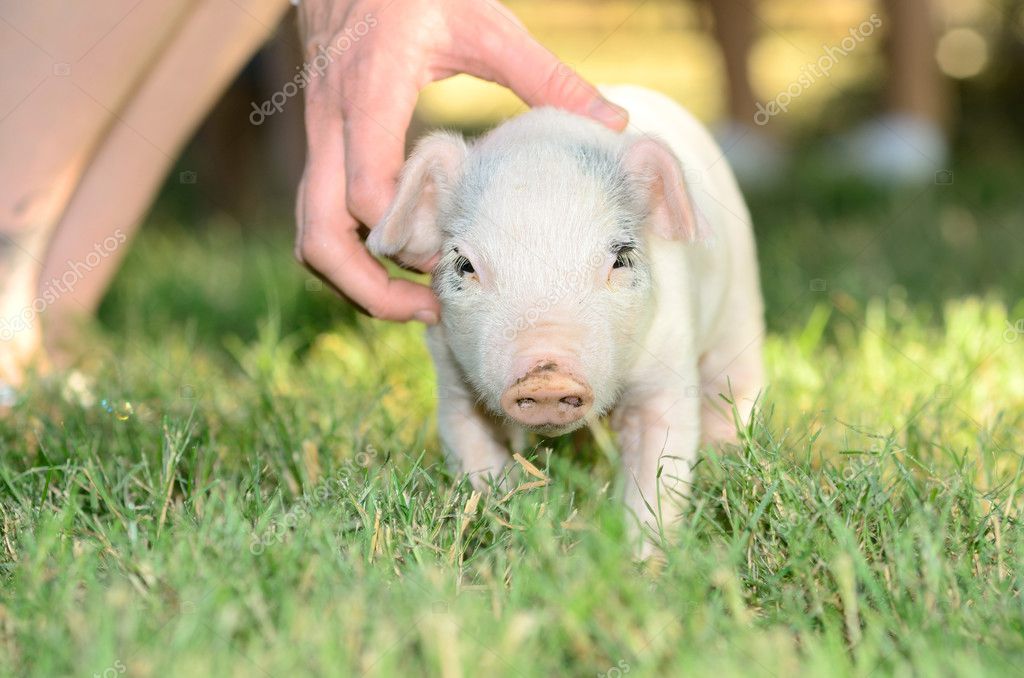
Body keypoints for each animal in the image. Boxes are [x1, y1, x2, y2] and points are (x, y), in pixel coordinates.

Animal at [368, 85, 764, 554]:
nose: (546, 375)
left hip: (740, 309)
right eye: (465, 265)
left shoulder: (667, 366)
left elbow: (660, 466)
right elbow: (473, 450)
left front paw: (643, 559)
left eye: (621, 259)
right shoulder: (450, 373)